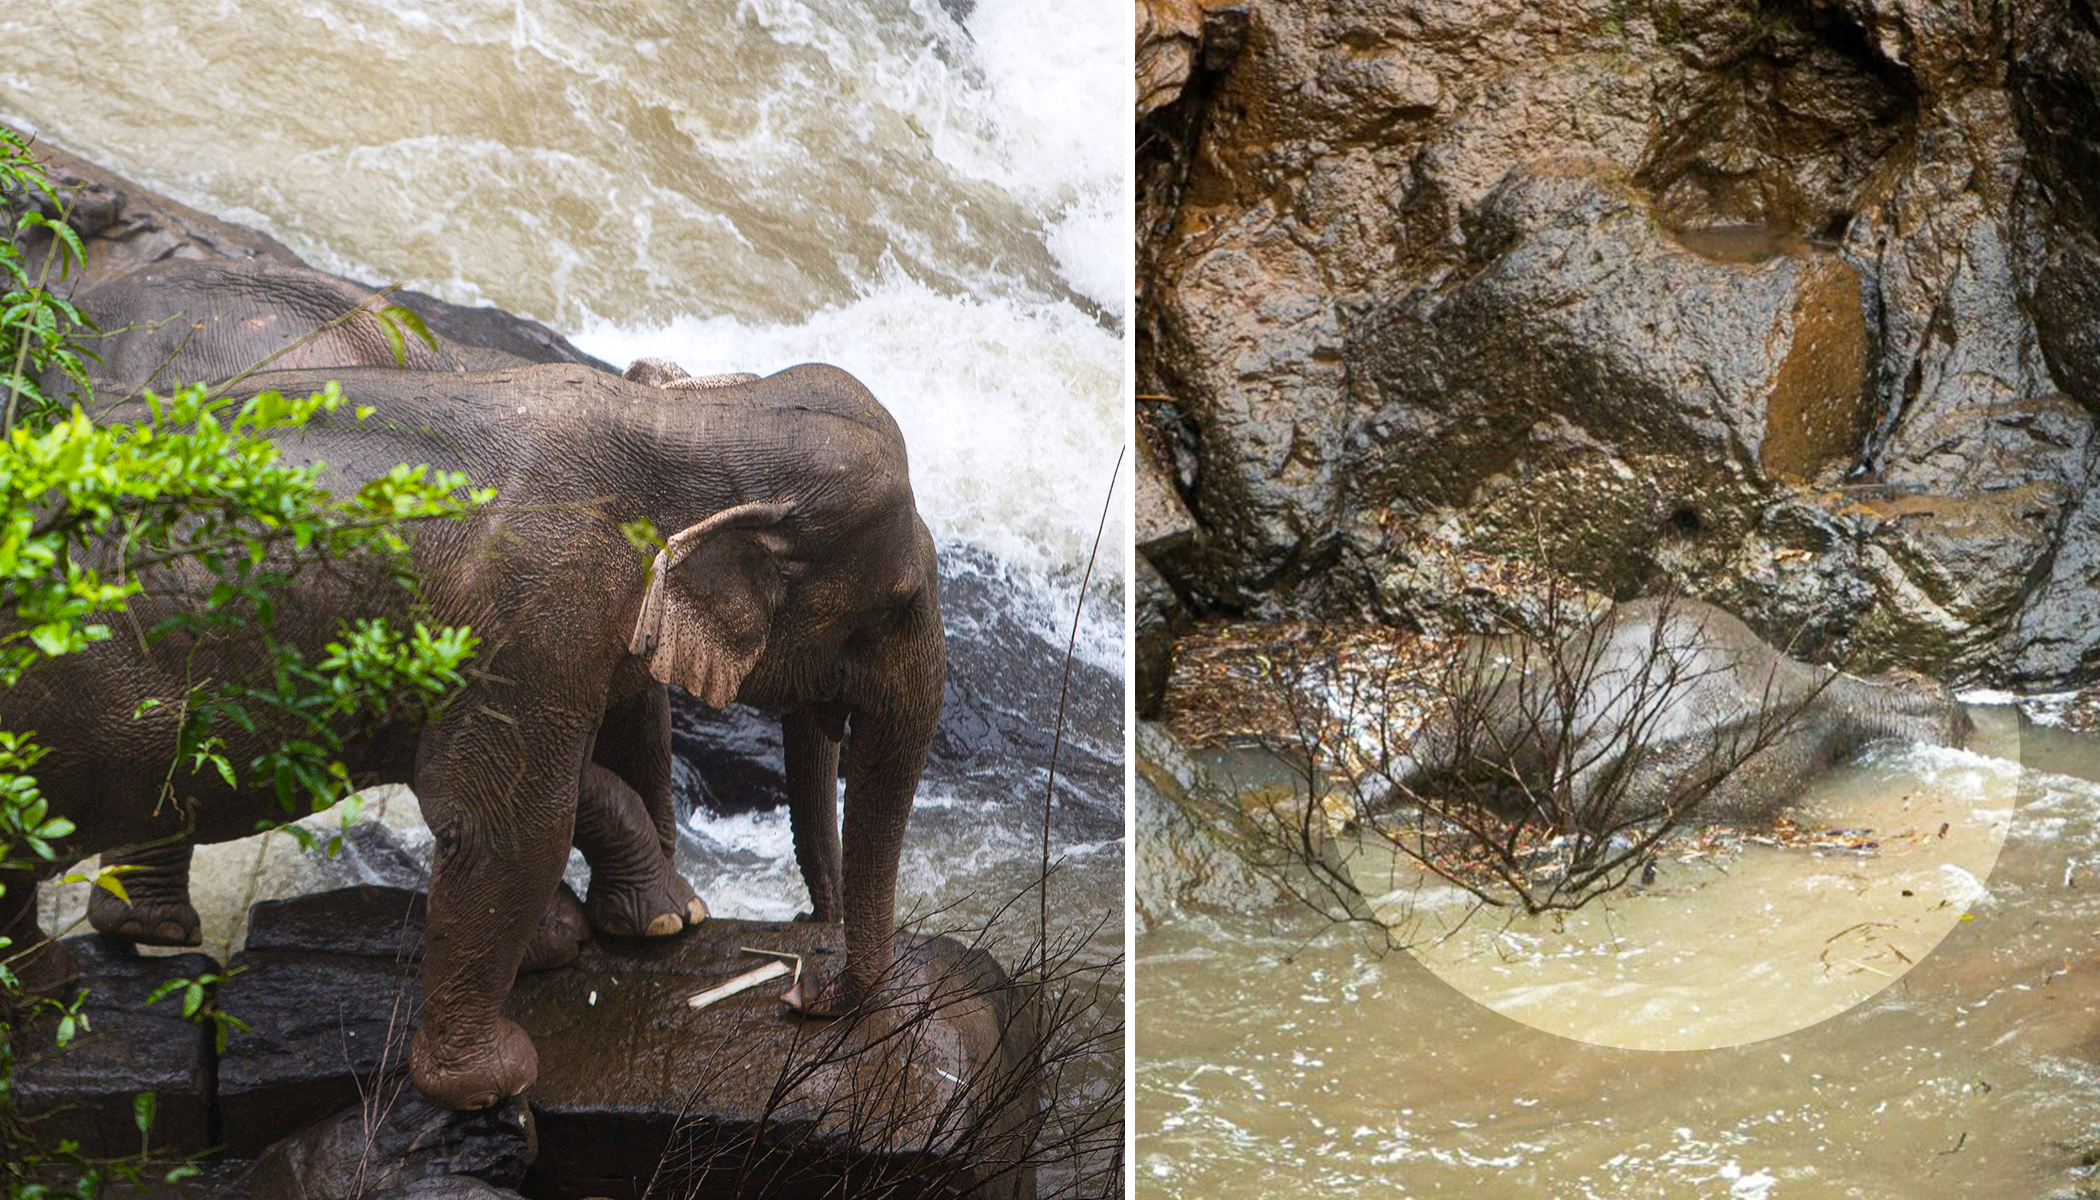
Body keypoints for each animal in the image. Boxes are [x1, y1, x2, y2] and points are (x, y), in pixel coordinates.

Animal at [0, 359, 945, 1110]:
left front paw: (623, 930)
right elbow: (504, 821)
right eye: (895, 604)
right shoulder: (539, 608)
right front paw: (494, 1083)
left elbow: (521, 784)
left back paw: (89, 961)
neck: (696, 421)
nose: (800, 992)